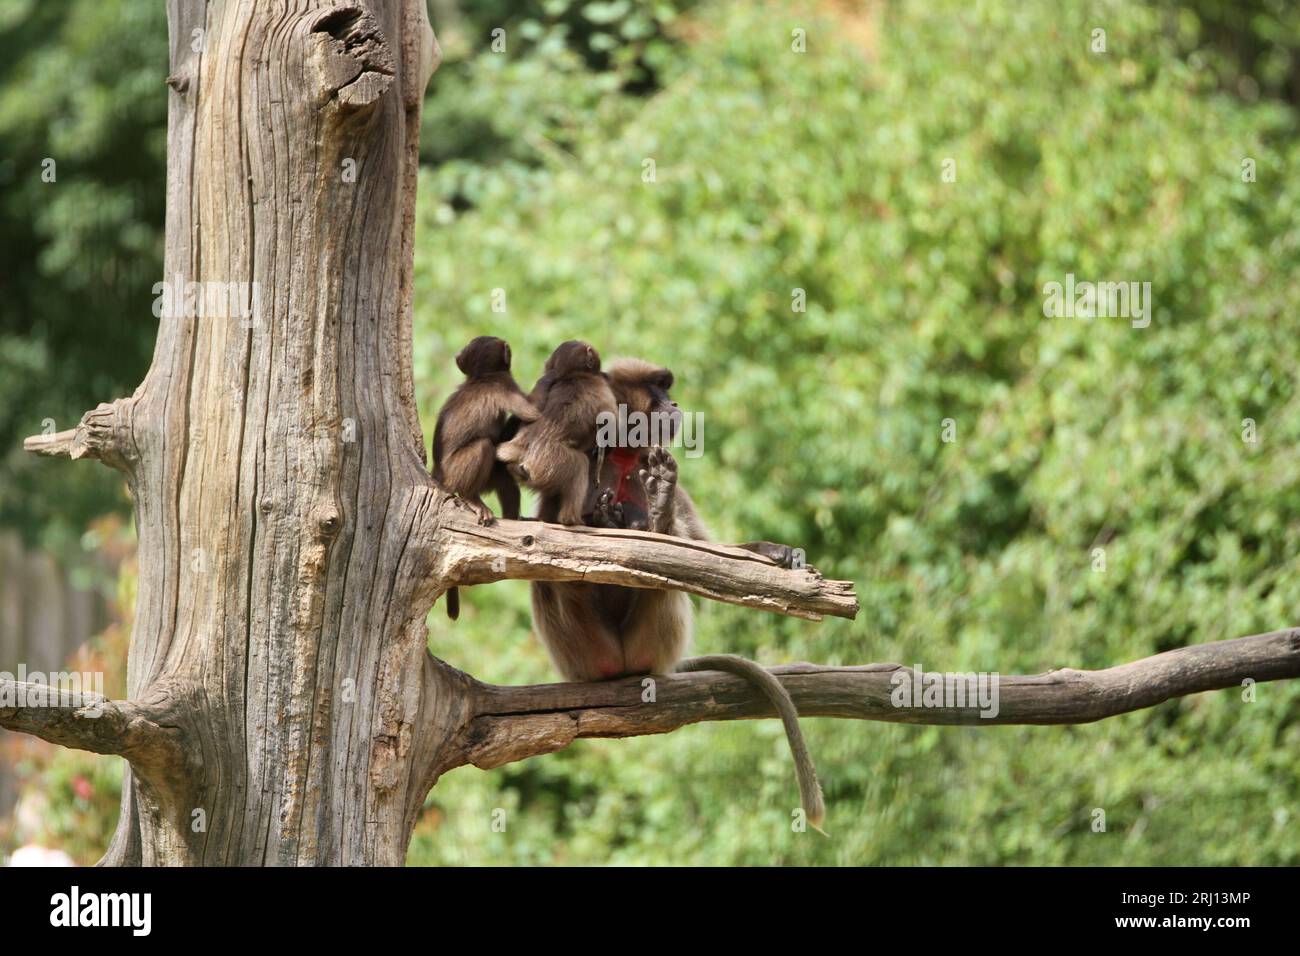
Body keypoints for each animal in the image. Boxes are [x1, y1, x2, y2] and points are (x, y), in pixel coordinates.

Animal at [431, 335, 539, 619]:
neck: (481, 376)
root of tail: (438, 476)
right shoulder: (505, 384)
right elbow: (532, 415)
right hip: (456, 473)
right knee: (484, 446)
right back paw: (471, 499)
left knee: (503, 477)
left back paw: (515, 519)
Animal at [496, 340, 616, 526]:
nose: (604, 373)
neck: (573, 375)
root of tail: (518, 448)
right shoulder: (602, 390)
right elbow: (611, 423)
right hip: (550, 461)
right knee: (580, 464)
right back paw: (571, 520)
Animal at [529, 357, 824, 829]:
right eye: (658, 388)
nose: (675, 404)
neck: (623, 455)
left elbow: (704, 559)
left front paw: (775, 552)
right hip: (582, 653)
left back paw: (660, 512)